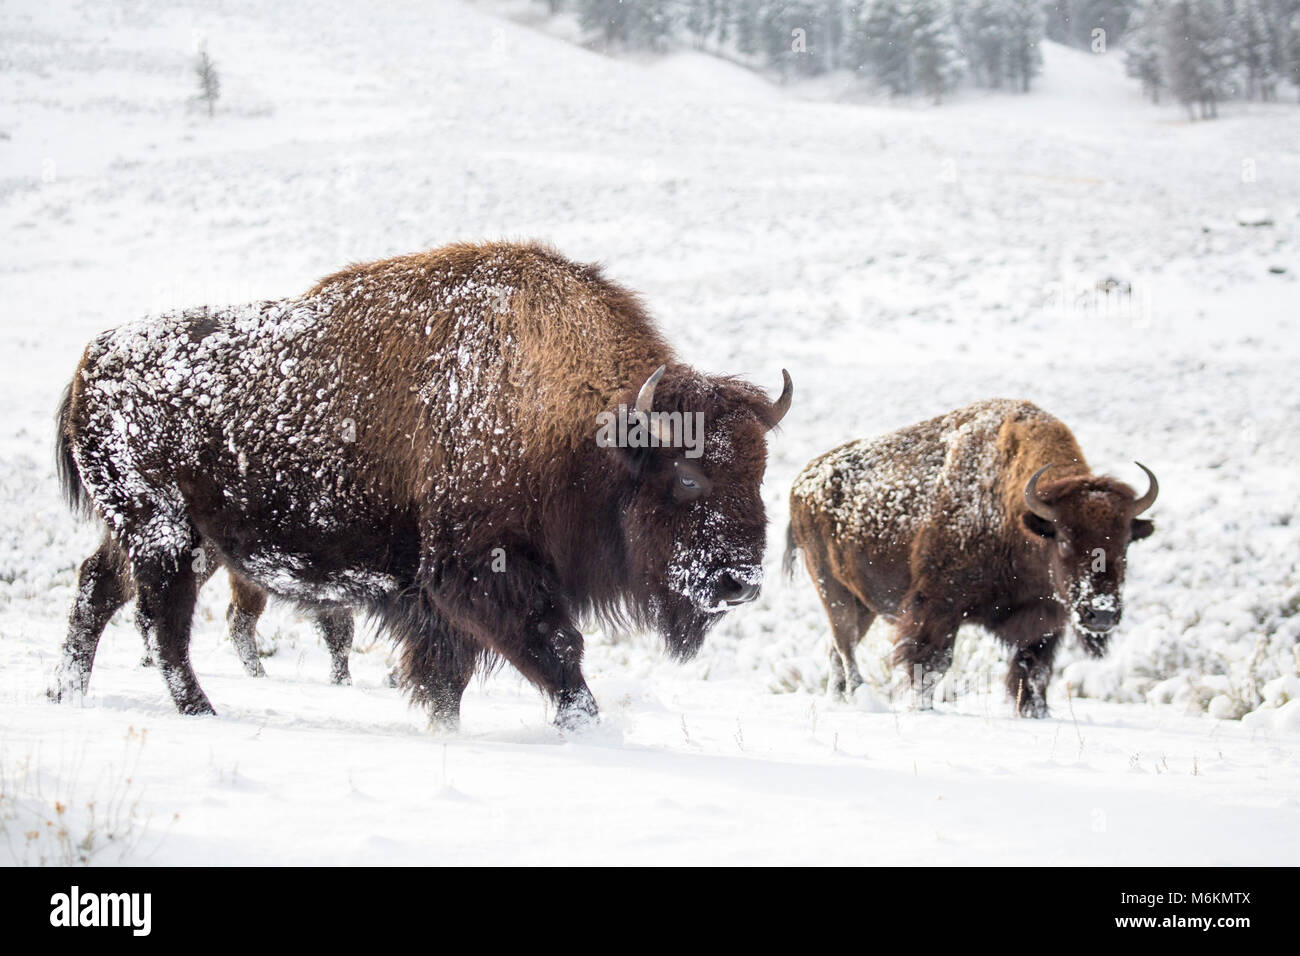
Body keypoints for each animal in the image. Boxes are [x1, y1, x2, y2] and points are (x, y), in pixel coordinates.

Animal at [52, 241, 791, 728]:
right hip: (165, 536)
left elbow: (449, 678)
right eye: (688, 475)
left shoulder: (445, 601)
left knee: (99, 591)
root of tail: (92, 357)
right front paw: (581, 725)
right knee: (161, 624)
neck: (575, 423)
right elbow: (556, 650)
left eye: (760, 472)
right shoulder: (481, 574)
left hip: (181, 540)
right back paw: (199, 711)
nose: (739, 582)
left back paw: (66, 694)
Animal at [785, 399, 1155, 716]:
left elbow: (1033, 673)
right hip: (832, 590)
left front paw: (1035, 713)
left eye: (1126, 542)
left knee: (836, 650)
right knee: (845, 646)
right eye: (1063, 539)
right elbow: (931, 664)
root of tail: (802, 482)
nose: (1101, 614)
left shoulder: (1045, 621)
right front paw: (921, 708)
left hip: (863, 604)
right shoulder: (937, 607)